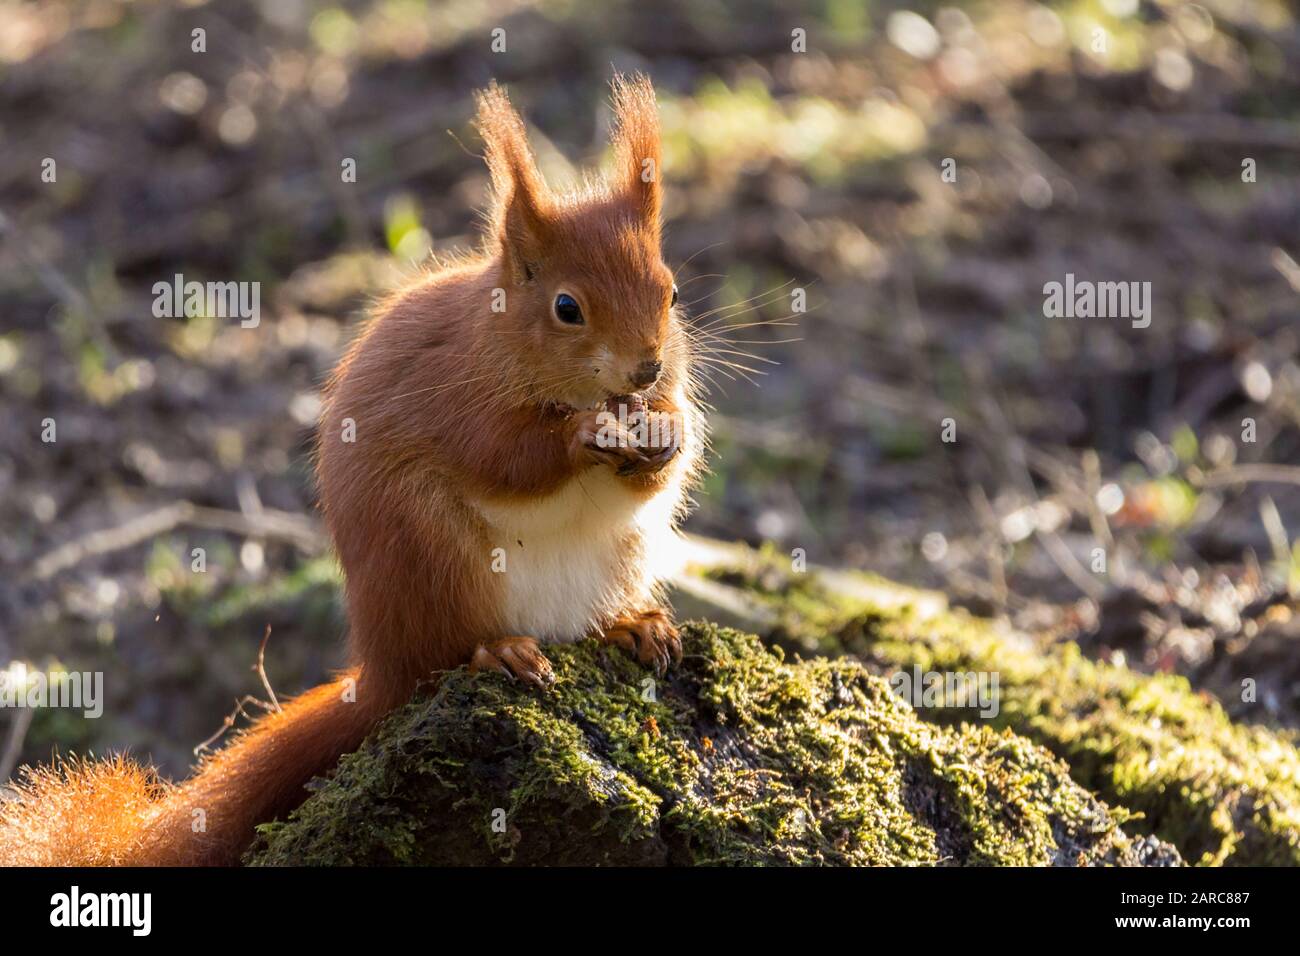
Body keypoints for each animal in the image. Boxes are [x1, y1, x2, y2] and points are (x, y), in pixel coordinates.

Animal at [0, 74, 704, 866]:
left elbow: (661, 462)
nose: (647, 367)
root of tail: (378, 667)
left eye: (673, 292)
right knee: (440, 656)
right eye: (566, 307)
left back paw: (631, 624)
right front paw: (585, 433)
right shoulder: (453, 390)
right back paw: (497, 651)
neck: (505, 340)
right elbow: (506, 456)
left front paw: (667, 428)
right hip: (429, 548)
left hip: (622, 553)